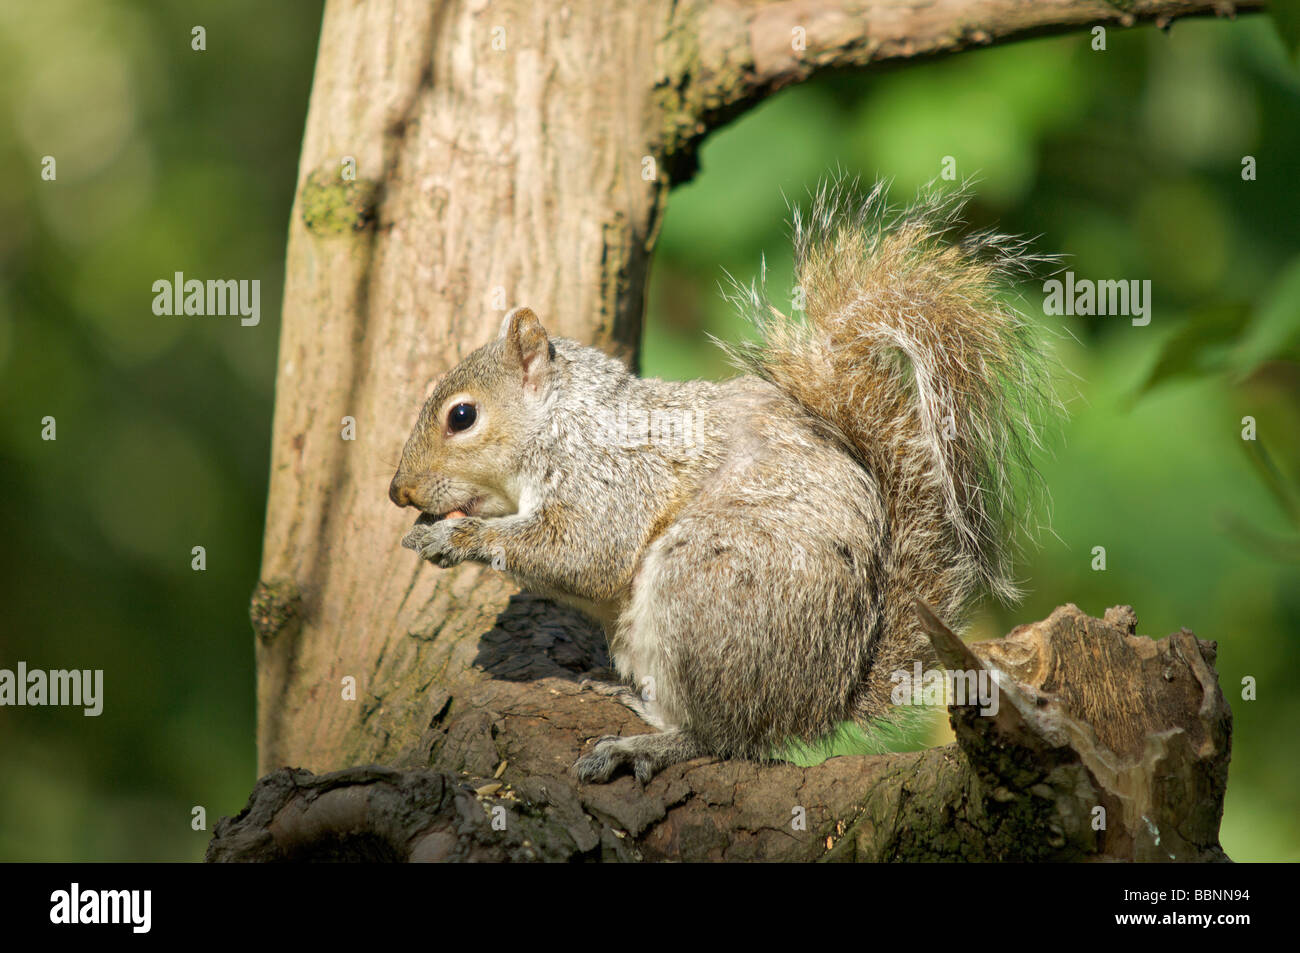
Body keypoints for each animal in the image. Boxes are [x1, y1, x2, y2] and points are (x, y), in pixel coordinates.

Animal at [389, 180, 1053, 784]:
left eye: (462, 416)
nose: (399, 492)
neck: (565, 419)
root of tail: (823, 701)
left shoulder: (611, 479)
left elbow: (584, 553)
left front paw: (453, 538)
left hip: (703, 594)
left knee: (723, 737)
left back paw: (647, 746)